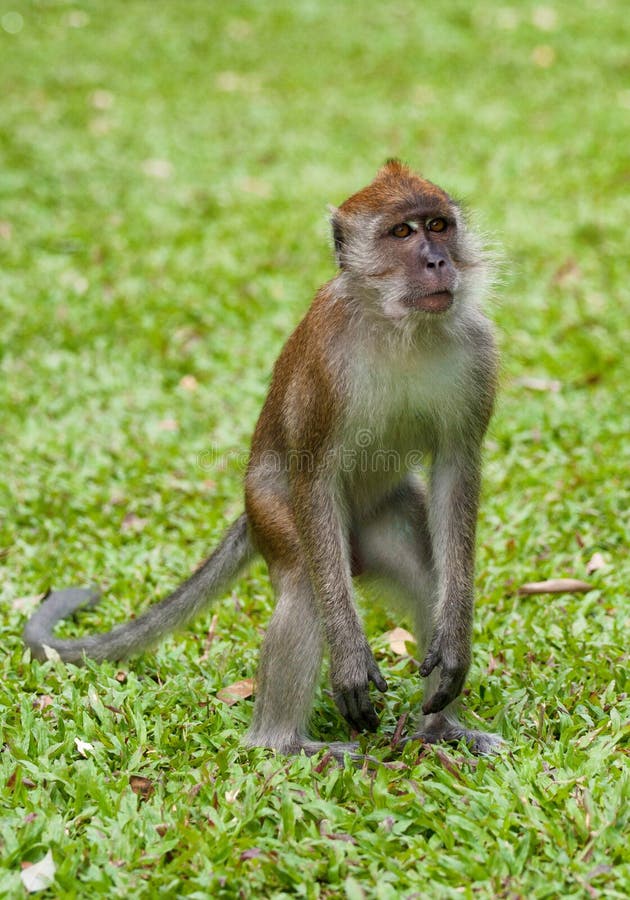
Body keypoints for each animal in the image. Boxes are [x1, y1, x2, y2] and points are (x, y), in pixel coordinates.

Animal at [24, 160, 503, 759]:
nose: (439, 260)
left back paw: (440, 728)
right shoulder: (325, 364)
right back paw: (283, 743)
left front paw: (455, 646)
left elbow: (455, 472)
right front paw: (350, 661)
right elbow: (314, 475)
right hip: (273, 511)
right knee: (303, 584)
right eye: (402, 233)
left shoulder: (478, 350)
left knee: (422, 570)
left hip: (381, 519)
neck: (399, 326)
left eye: (439, 225)